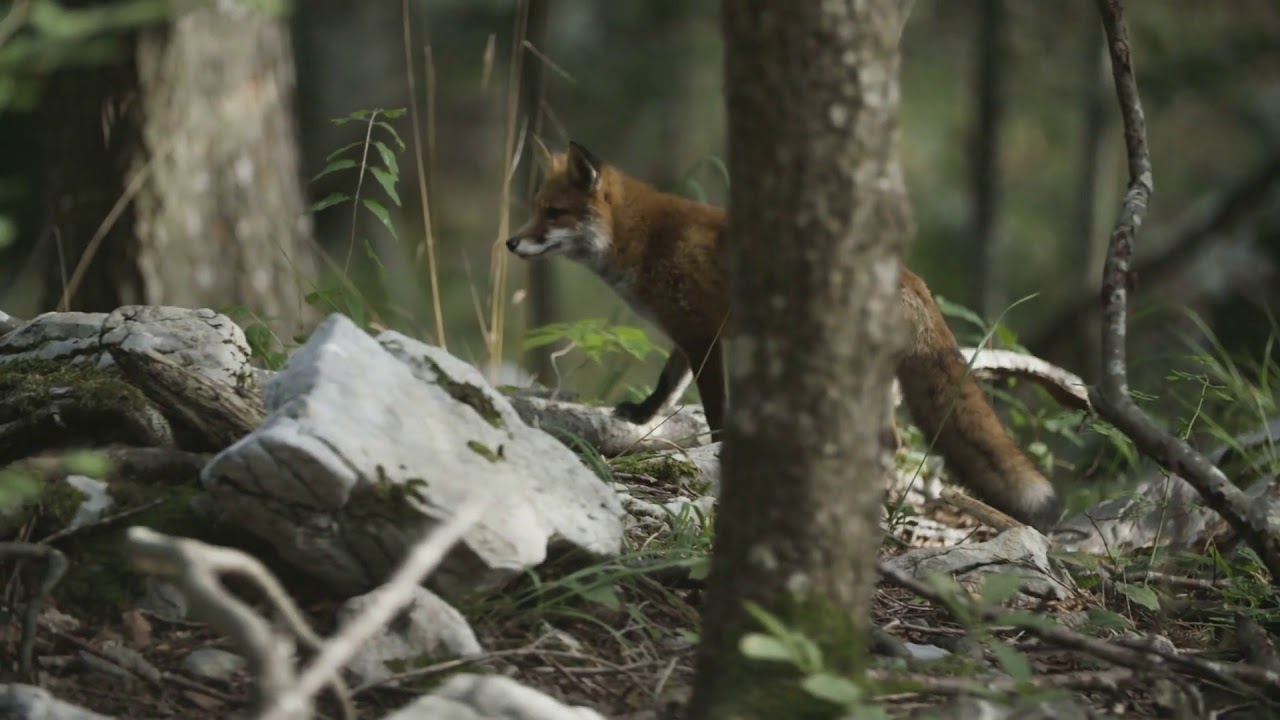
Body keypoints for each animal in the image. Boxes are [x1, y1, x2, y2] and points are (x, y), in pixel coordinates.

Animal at [507, 139, 1062, 532]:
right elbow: (666, 388)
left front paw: (721, 460)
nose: (511, 242)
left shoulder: (705, 336)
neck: (643, 240)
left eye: (553, 213)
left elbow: (715, 413)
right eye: (535, 208)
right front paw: (641, 415)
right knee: (890, 439)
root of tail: (911, 276)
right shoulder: (687, 336)